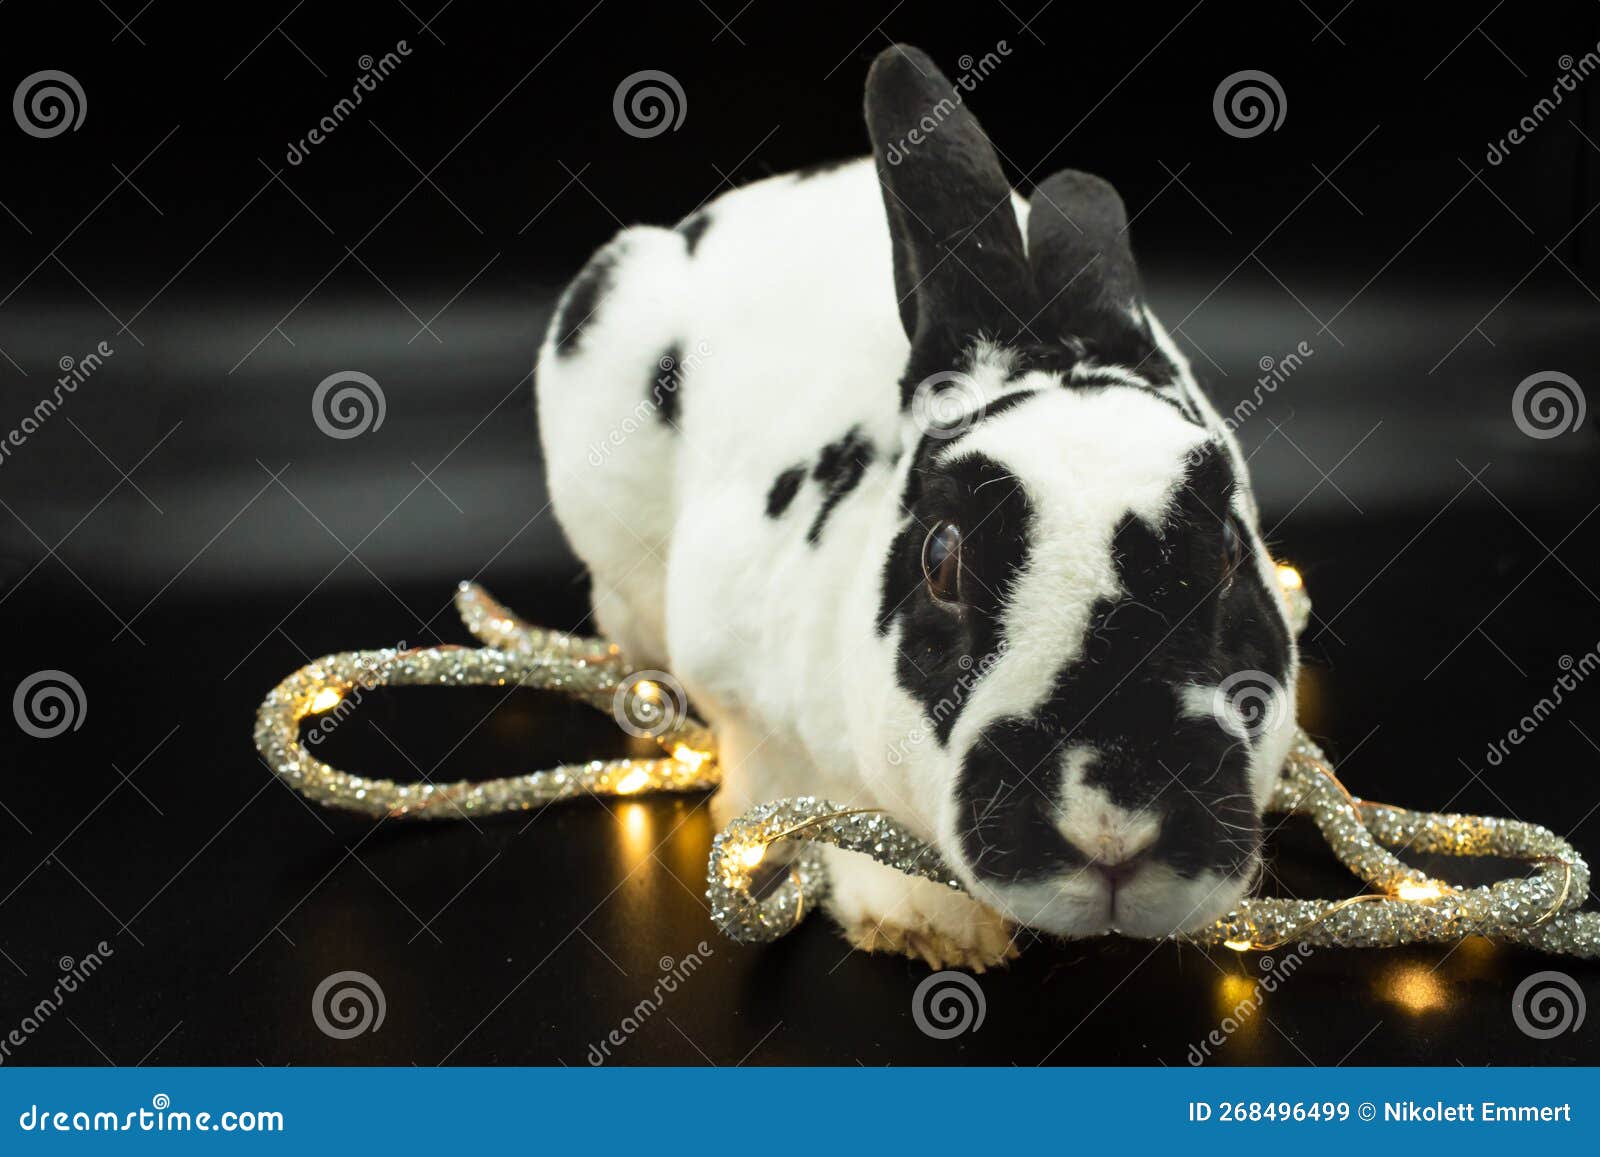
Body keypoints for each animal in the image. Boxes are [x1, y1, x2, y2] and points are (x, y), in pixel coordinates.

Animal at [535, 44, 1298, 970]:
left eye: (1227, 550)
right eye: (940, 559)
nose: (1113, 828)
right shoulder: (734, 673)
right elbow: (784, 780)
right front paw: (924, 922)